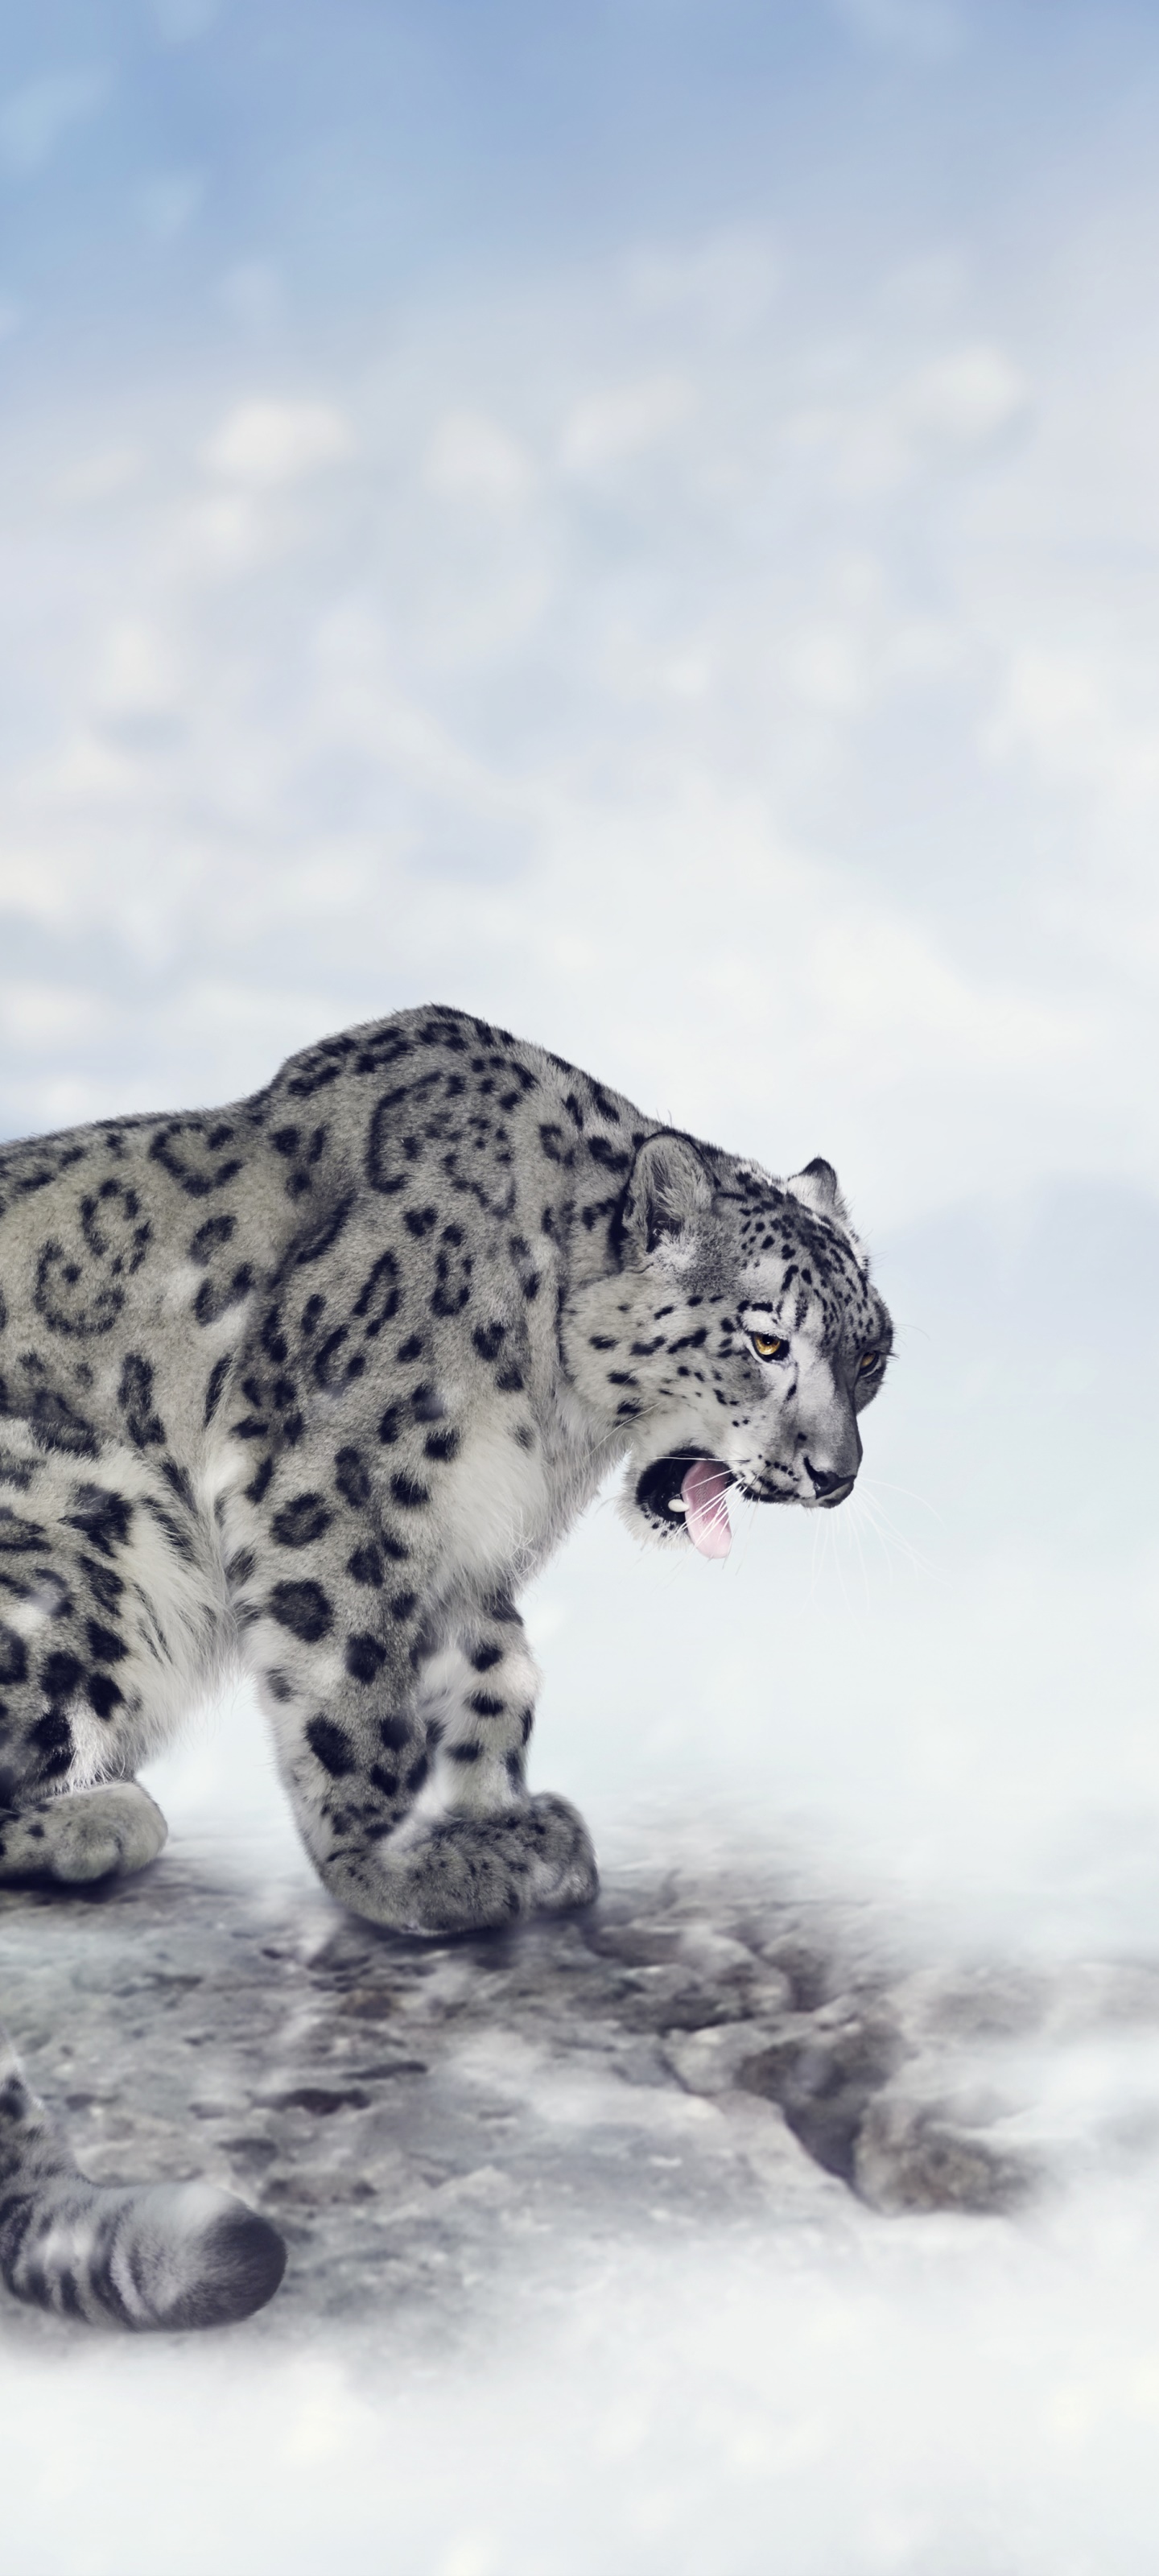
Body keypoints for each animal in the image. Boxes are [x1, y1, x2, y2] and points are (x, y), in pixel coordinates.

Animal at [0, 1003, 892, 2329]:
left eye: (875, 1354)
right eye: (765, 1333)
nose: (836, 1474)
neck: (559, 1425)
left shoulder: (467, 1550)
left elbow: (493, 1675)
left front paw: (502, 1822)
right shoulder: (327, 1476)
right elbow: (353, 1686)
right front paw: (395, 1862)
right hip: (89, 1559)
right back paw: (96, 1816)